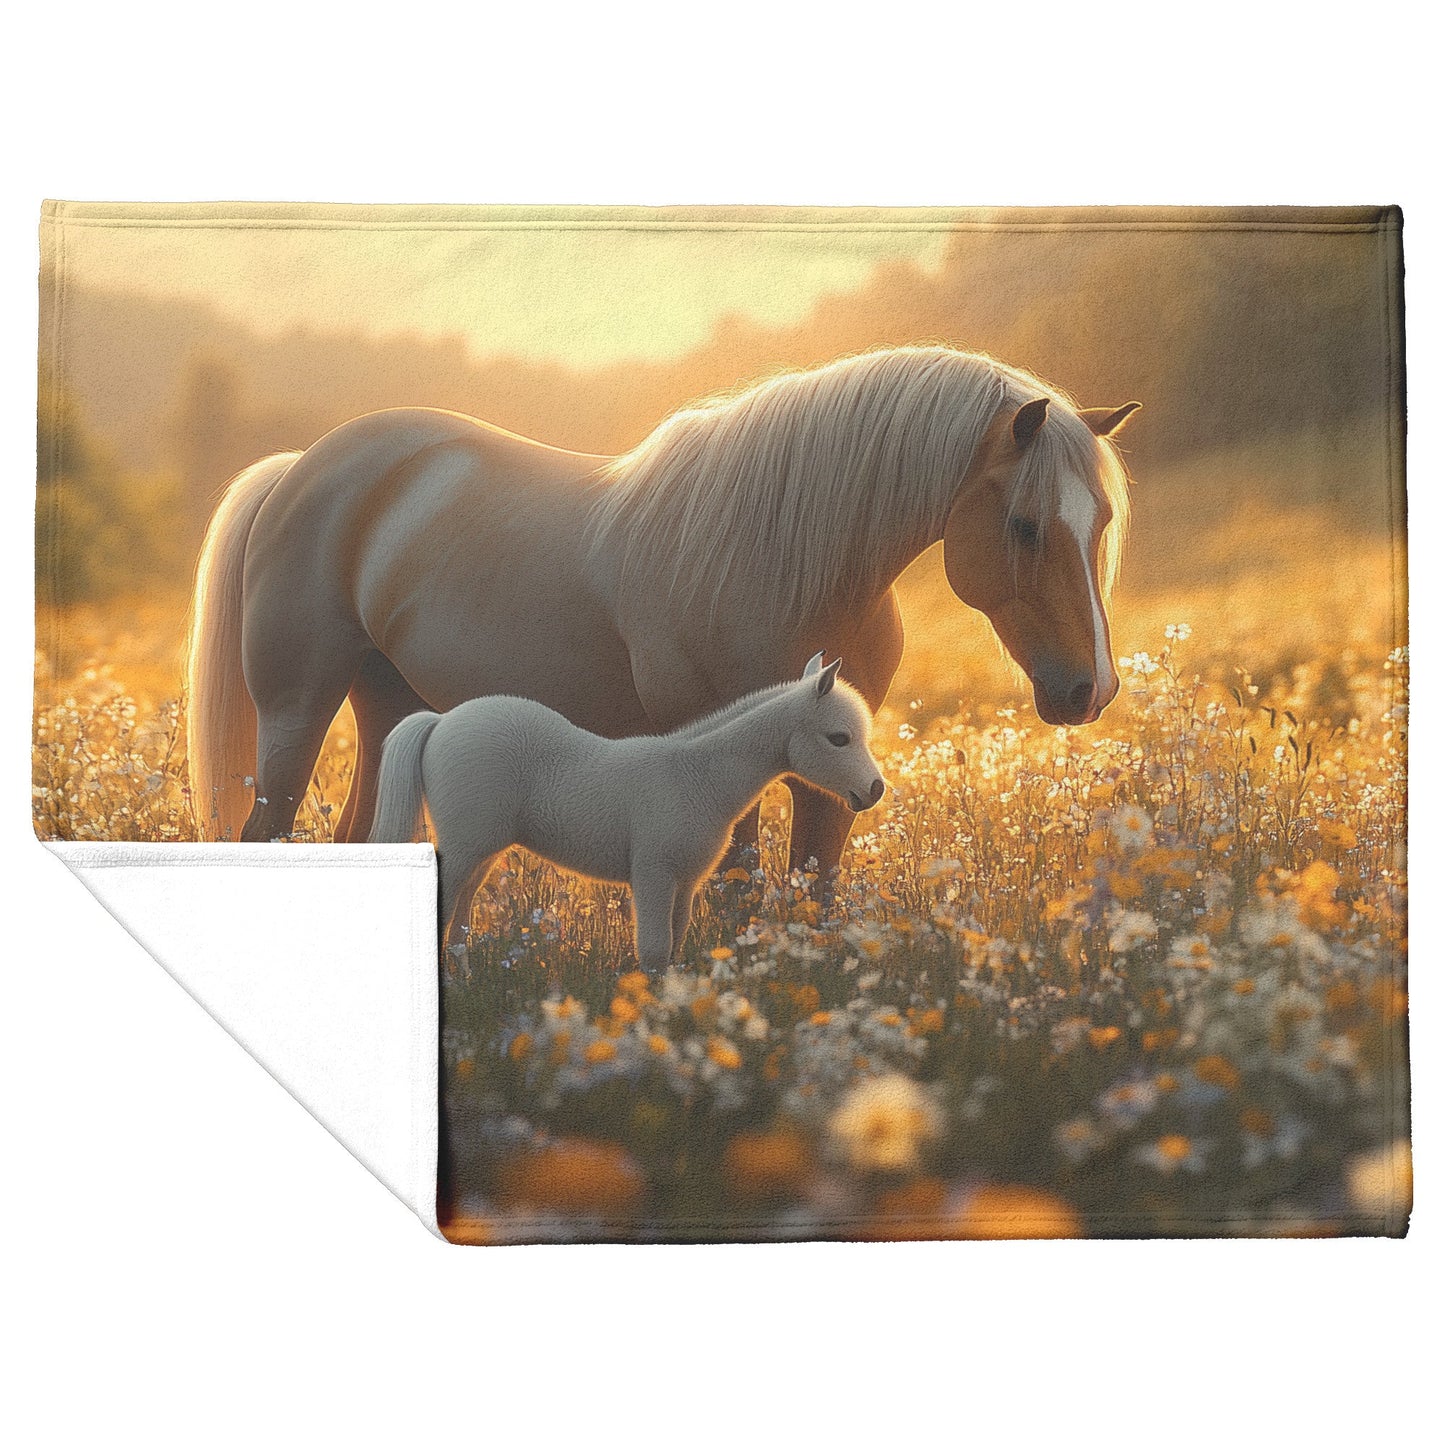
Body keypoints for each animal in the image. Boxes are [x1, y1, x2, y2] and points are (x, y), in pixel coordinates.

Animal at [185, 344, 1139, 881]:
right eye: (1024, 524)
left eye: (1101, 521)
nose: (1088, 690)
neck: (791, 565)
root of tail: (304, 466)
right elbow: (737, 897)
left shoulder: (833, 780)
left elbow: (815, 899)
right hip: (296, 712)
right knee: (267, 831)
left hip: (389, 706)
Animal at [368, 653, 884, 966]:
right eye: (839, 737)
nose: (875, 790)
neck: (697, 776)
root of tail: (441, 722)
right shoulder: (654, 874)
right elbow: (653, 951)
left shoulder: (685, 881)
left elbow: (673, 948)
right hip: (463, 850)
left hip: (480, 852)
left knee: (460, 918)